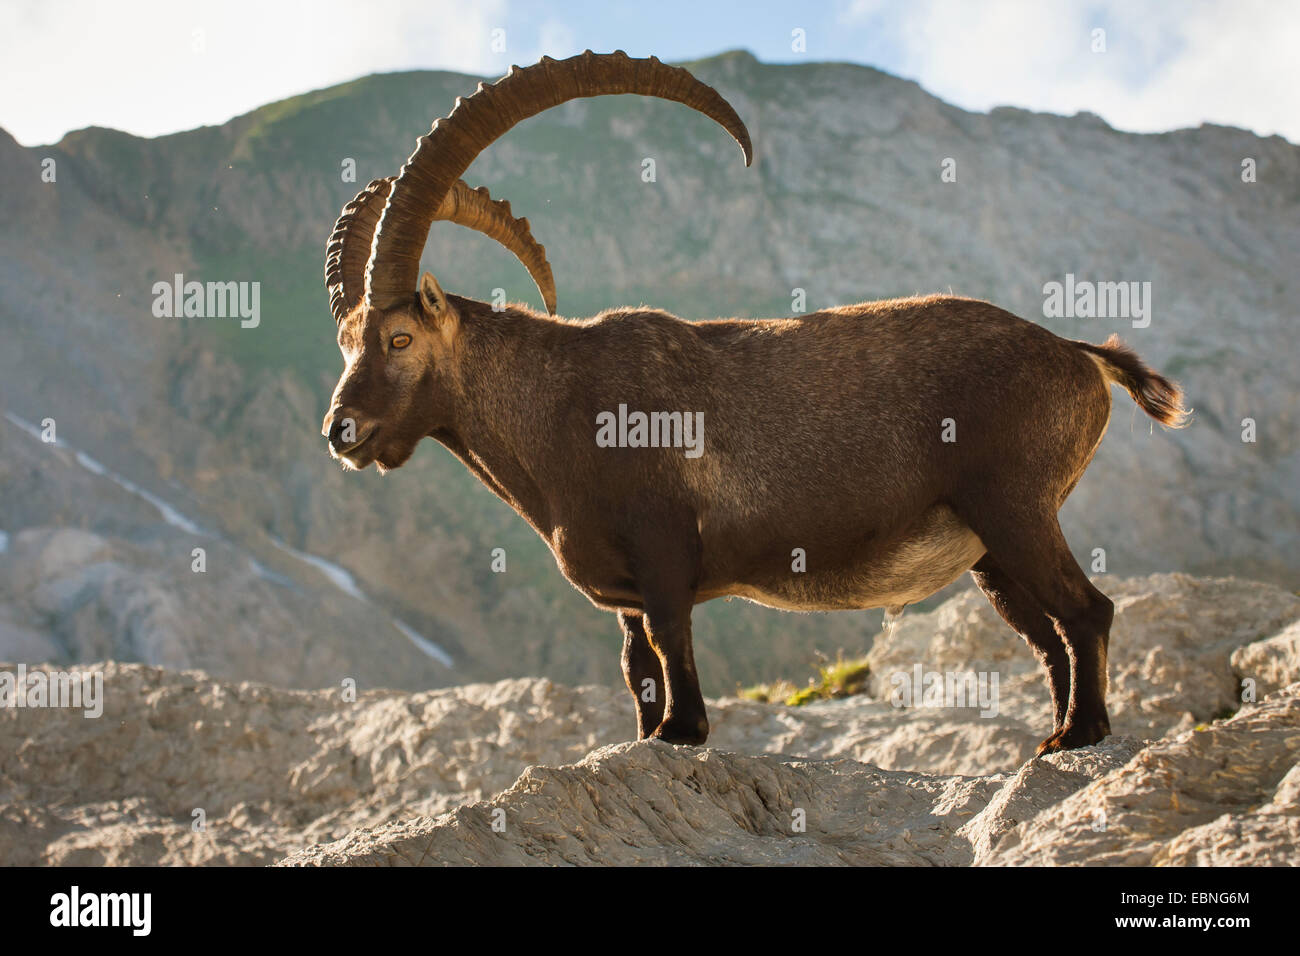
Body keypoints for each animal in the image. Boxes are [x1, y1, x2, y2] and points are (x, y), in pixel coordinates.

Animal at [321, 51, 1189, 755]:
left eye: (399, 338)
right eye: (346, 341)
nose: (340, 431)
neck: (558, 403)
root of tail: (1078, 355)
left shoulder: (664, 552)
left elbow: (672, 648)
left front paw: (683, 731)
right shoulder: (624, 595)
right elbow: (636, 665)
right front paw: (649, 735)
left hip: (1015, 505)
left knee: (1089, 611)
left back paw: (1081, 735)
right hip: (987, 550)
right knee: (1049, 635)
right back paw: (1055, 735)